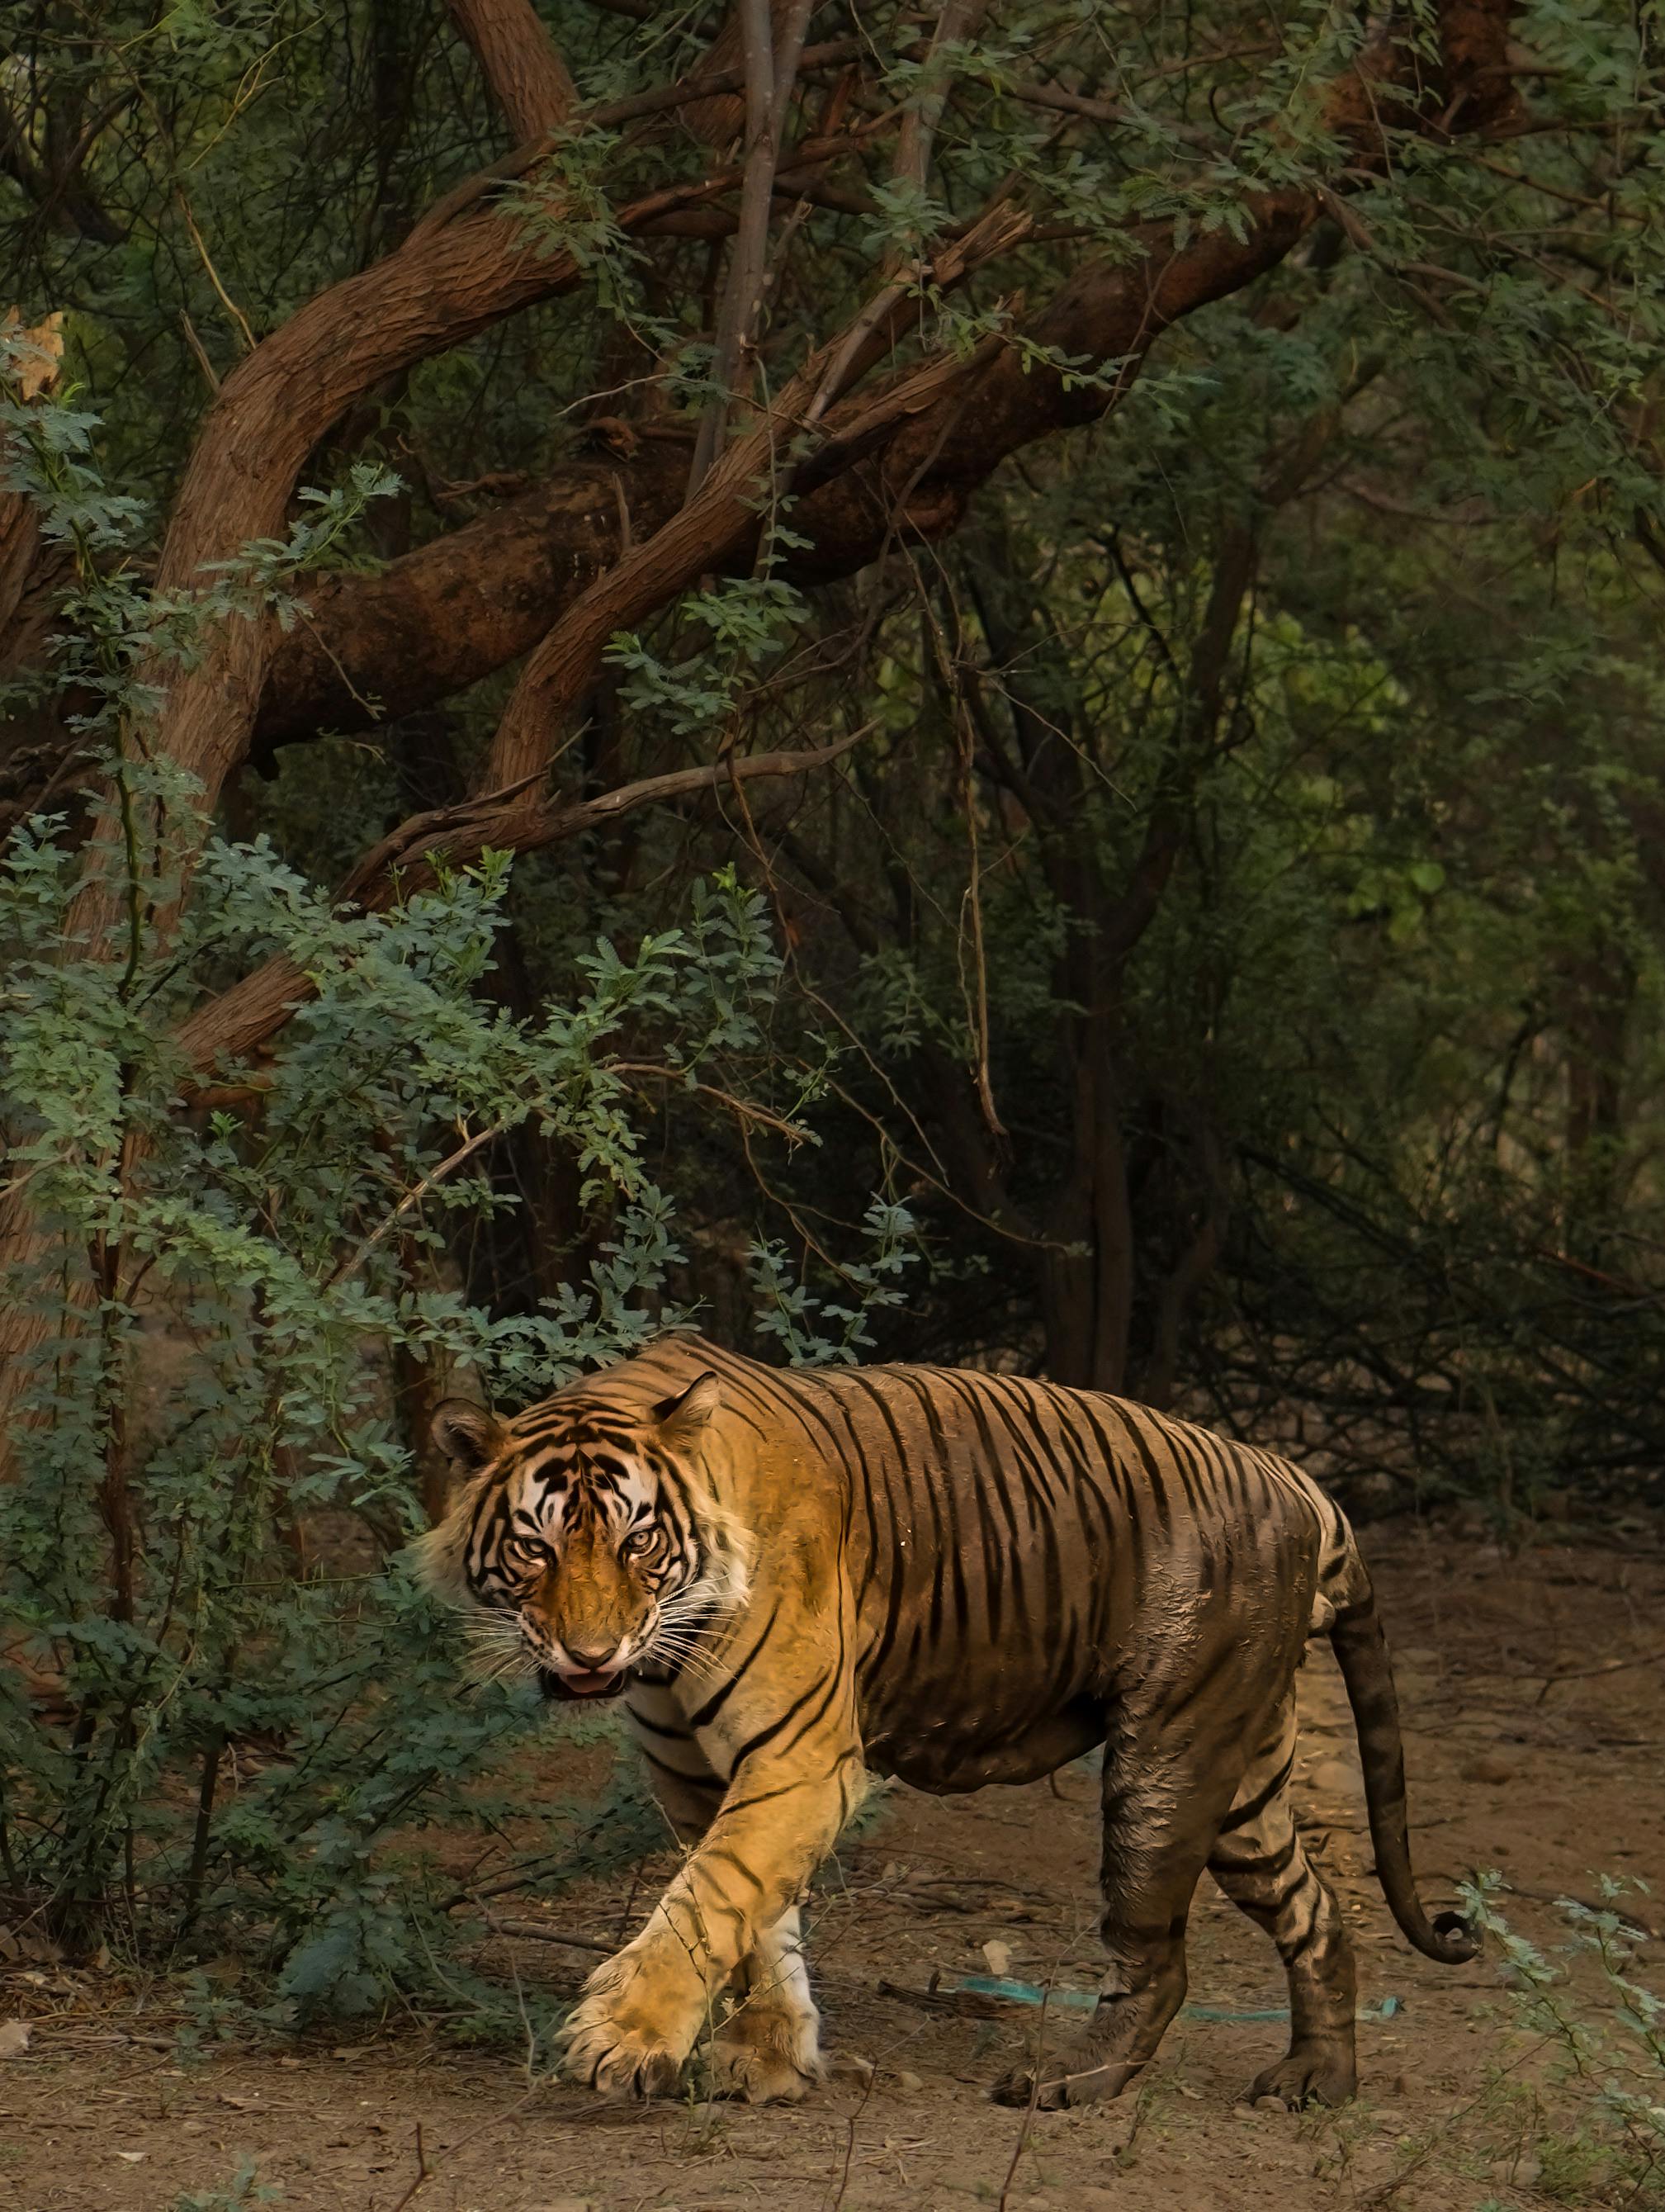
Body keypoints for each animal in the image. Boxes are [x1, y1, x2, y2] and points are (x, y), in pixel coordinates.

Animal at [416, 1330, 1473, 2110]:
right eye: (536, 1549)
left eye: (637, 1543)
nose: (591, 1656)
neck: (669, 1648)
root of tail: (1298, 1481)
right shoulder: (692, 1773)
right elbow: (757, 1918)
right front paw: (770, 2059)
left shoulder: (798, 1757)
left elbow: (709, 1899)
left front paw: (623, 2041)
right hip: (1243, 1779)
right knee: (1319, 1913)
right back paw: (1316, 2080)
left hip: (1168, 1758)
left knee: (1156, 1951)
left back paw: (1068, 2082)